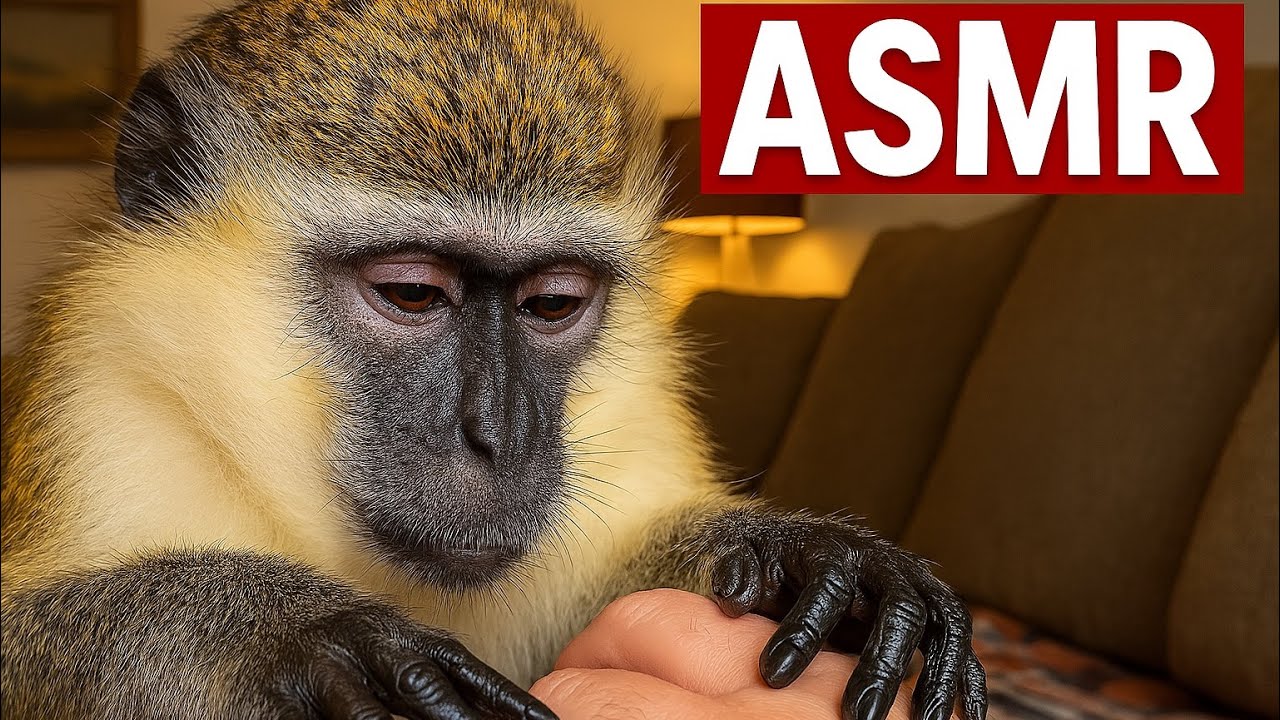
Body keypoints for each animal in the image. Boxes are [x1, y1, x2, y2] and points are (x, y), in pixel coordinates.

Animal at [0, 1, 986, 719]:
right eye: (412, 294)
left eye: (551, 304)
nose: (500, 434)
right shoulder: (105, 389)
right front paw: (289, 634)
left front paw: (789, 552)